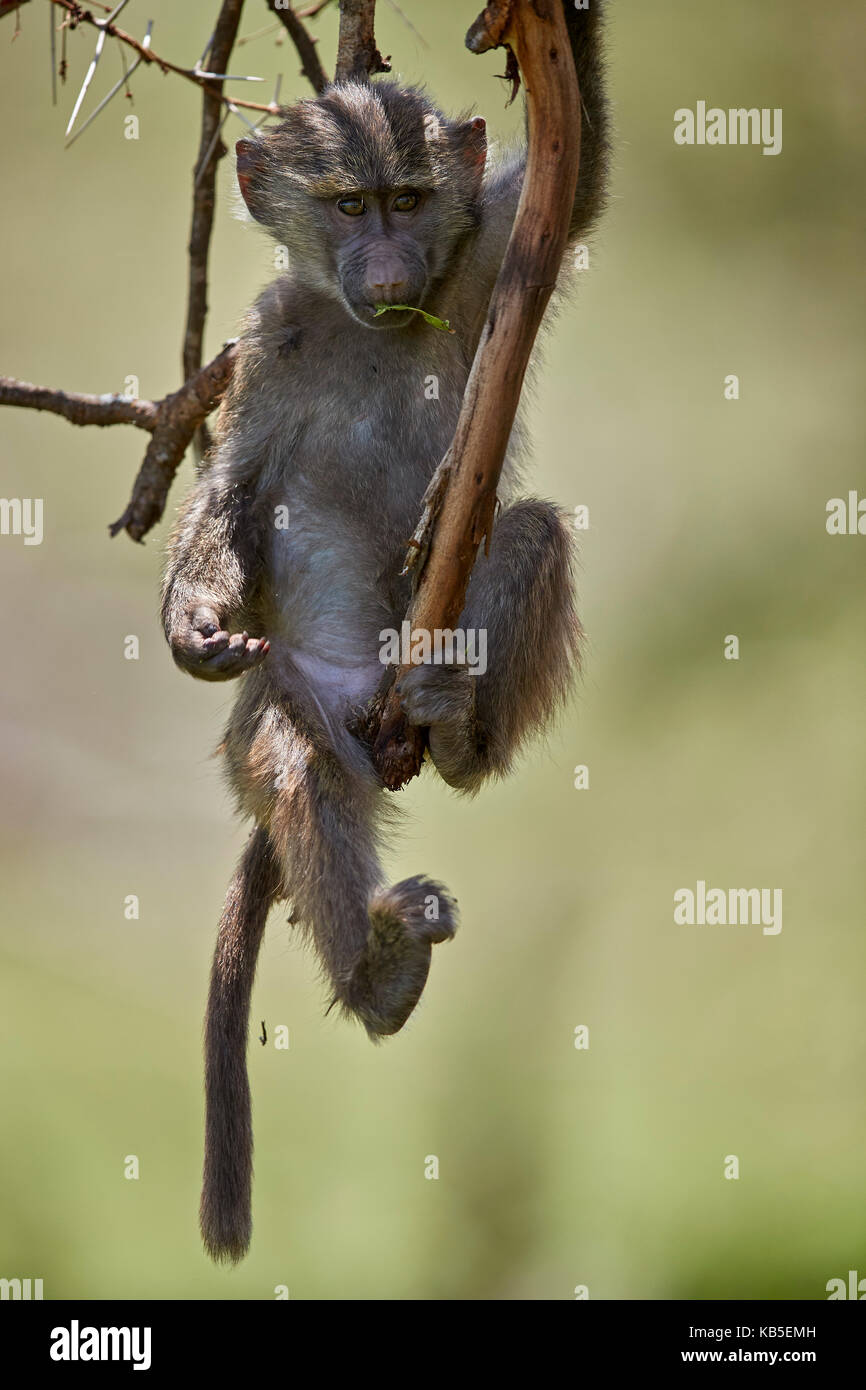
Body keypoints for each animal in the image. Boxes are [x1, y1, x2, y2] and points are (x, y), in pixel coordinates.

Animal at [161, 2, 608, 1264]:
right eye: (348, 206)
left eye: (409, 198)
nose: (392, 271)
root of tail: (381, 711)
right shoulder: (267, 339)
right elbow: (234, 487)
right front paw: (189, 619)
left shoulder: (489, 251)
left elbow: (576, 188)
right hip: (300, 699)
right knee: (295, 767)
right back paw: (375, 975)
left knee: (529, 530)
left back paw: (457, 730)